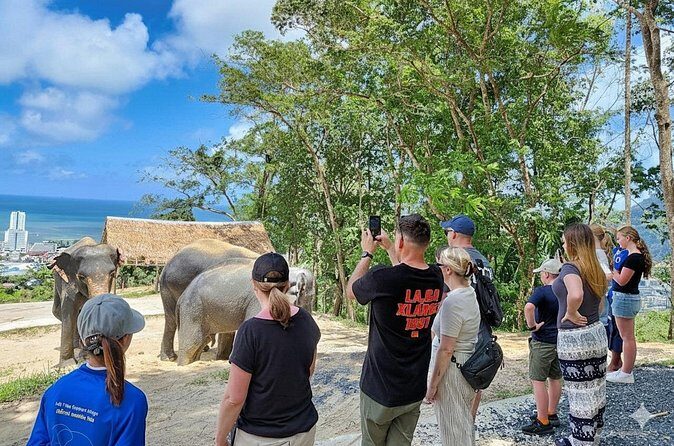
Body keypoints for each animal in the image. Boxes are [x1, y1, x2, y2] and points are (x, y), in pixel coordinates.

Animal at [159, 238, 316, 361]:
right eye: (305, 299)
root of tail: (166, 266)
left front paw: (223, 358)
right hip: (175, 289)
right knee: (173, 320)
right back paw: (171, 357)